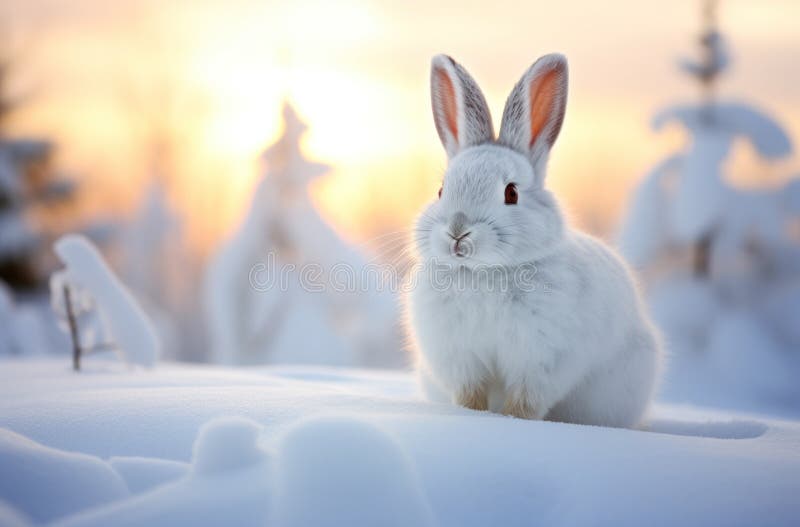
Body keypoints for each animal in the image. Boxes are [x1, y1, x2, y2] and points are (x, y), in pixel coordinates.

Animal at [406, 54, 663, 428]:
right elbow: (471, 397)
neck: (483, 272)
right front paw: (472, 417)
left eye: (511, 193)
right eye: (441, 191)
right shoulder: (461, 360)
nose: (458, 231)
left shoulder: (541, 361)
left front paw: (515, 422)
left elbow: (525, 402)